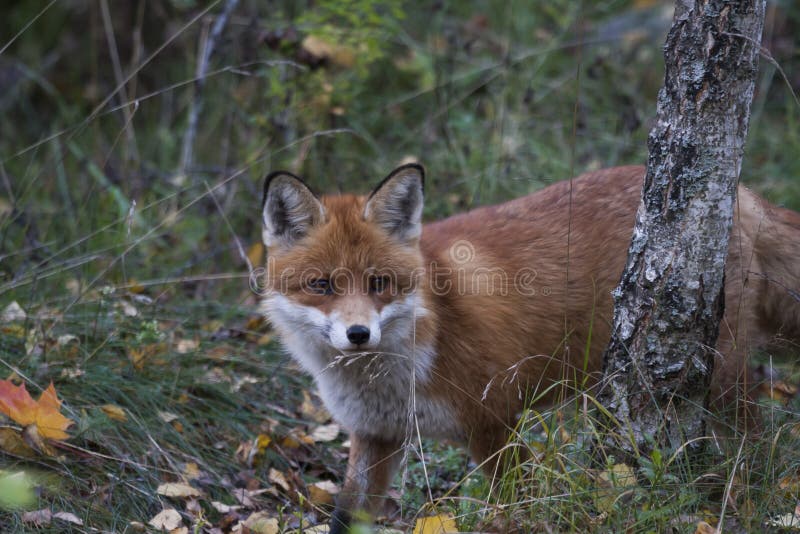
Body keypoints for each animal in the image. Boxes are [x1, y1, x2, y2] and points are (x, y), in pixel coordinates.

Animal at [258, 164, 800, 533]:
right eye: (322, 285)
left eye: (379, 284)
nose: (358, 335)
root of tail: (742, 193)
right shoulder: (376, 435)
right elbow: (346, 515)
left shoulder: (494, 423)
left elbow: (508, 510)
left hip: (721, 378)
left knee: (756, 445)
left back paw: (747, 502)